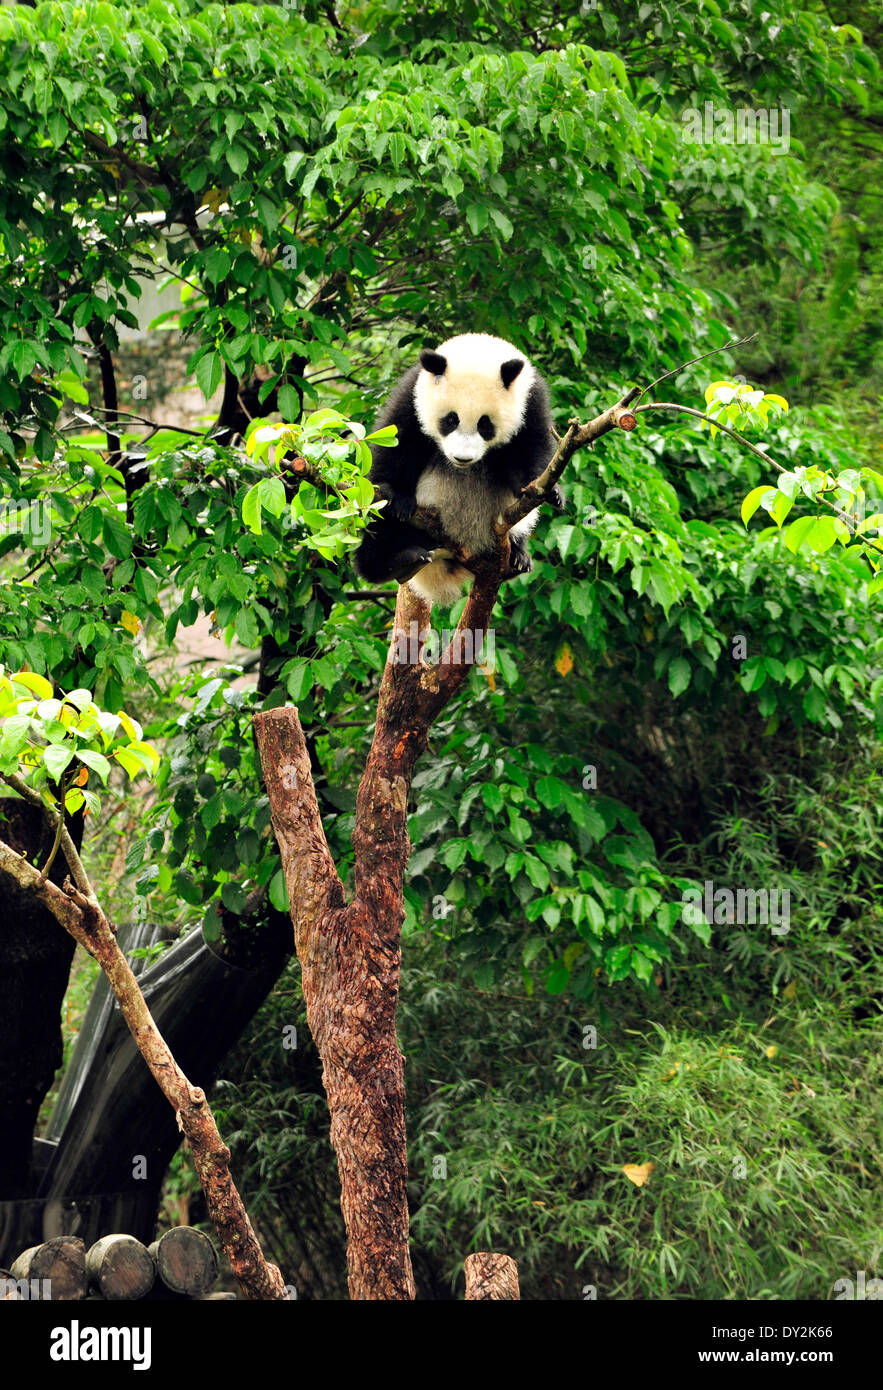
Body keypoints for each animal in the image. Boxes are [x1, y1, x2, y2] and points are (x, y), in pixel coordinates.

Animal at [354, 333, 561, 607]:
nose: (462, 458)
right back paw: (397, 561)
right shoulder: (414, 395)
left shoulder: (530, 401)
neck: (478, 350)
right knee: (379, 530)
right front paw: (398, 497)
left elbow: (531, 451)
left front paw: (550, 492)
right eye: (451, 420)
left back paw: (518, 559)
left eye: (485, 425)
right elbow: (397, 444)